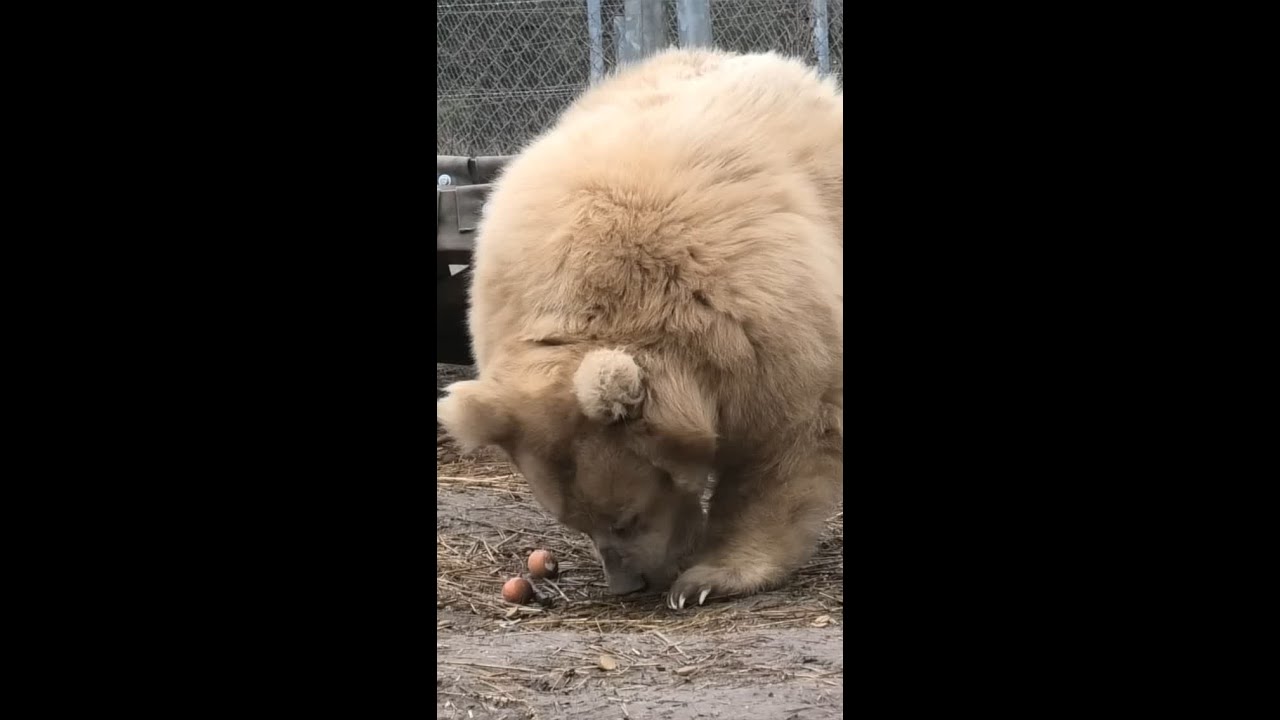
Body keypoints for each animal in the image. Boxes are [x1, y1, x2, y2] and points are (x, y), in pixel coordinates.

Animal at [437, 48, 842, 610]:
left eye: (626, 519)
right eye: (577, 523)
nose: (629, 584)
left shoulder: (766, 317)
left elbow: (788, 438)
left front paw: (707, 577)